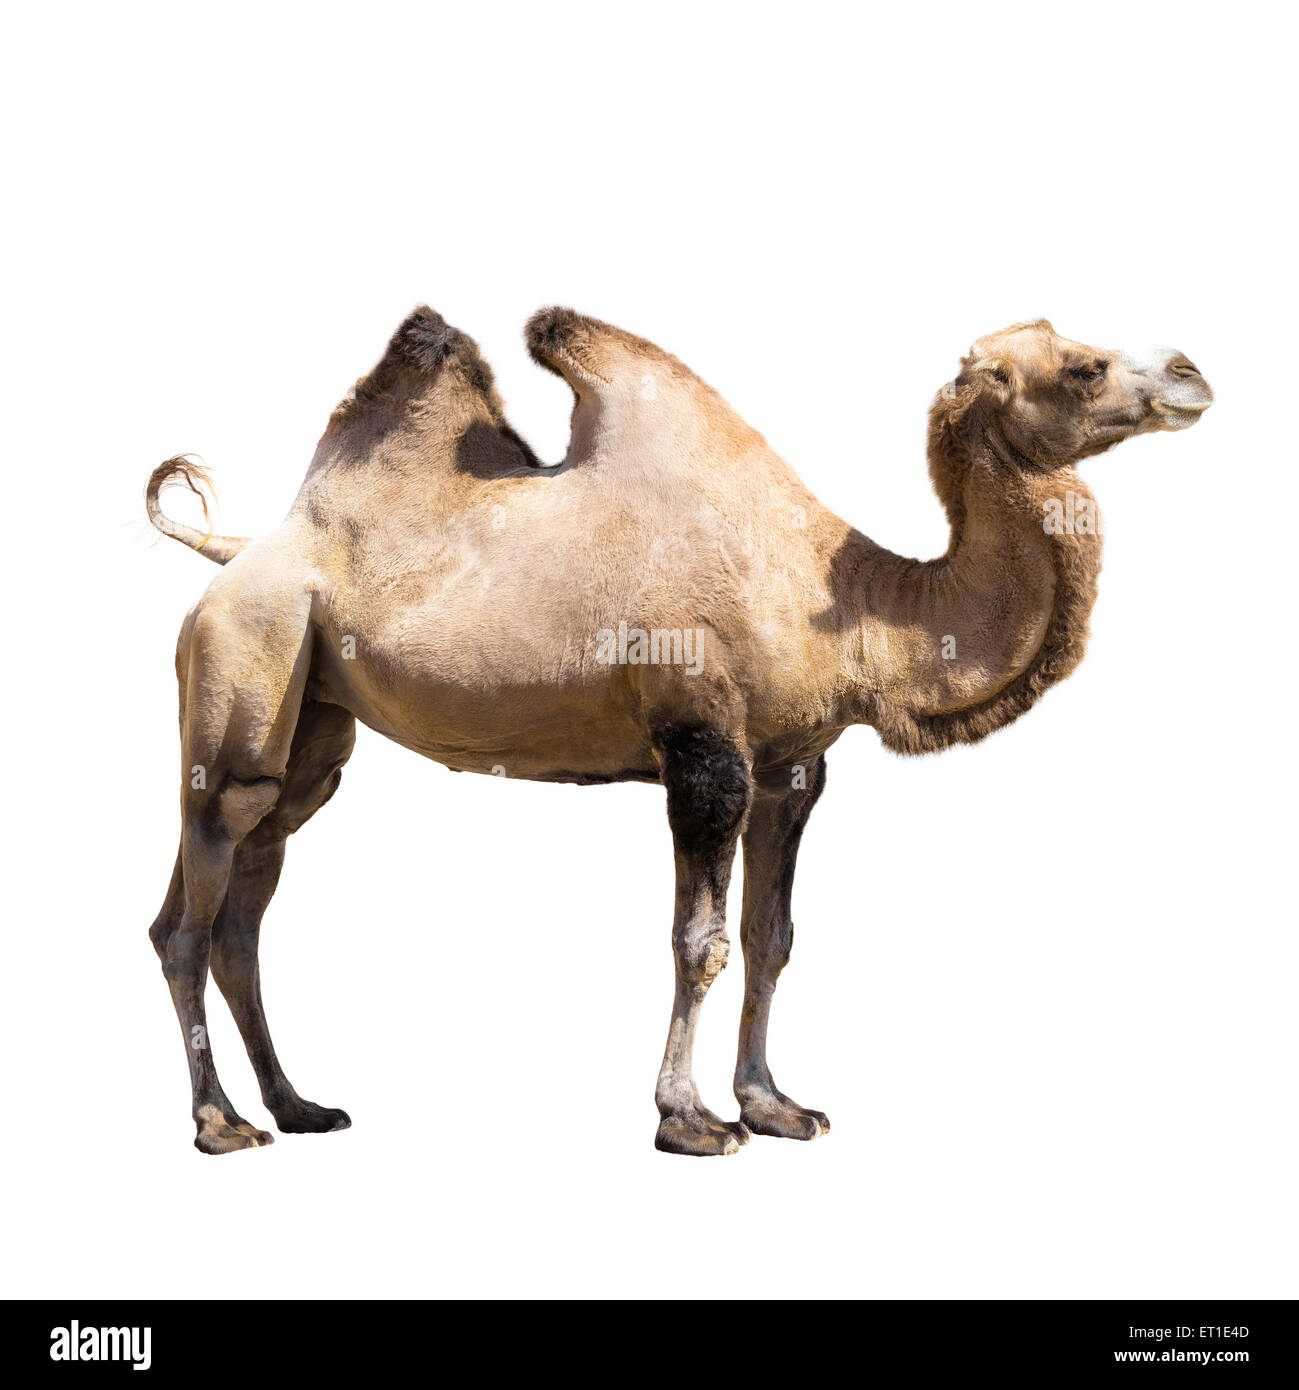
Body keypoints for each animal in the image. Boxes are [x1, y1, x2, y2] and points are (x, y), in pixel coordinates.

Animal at [146, 307, 1212, 1155]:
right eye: (1083, 367)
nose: (1192, 374)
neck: (852, 605)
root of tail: (240, 552)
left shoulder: (792, 764)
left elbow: (772, 935)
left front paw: (776, 1106)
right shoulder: (704, 750)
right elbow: (699, 940)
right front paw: (691, 1120)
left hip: (314, 723)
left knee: (247, 902)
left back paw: (298, 1107)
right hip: (241, 659)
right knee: (191, 909)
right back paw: (220, 1125)